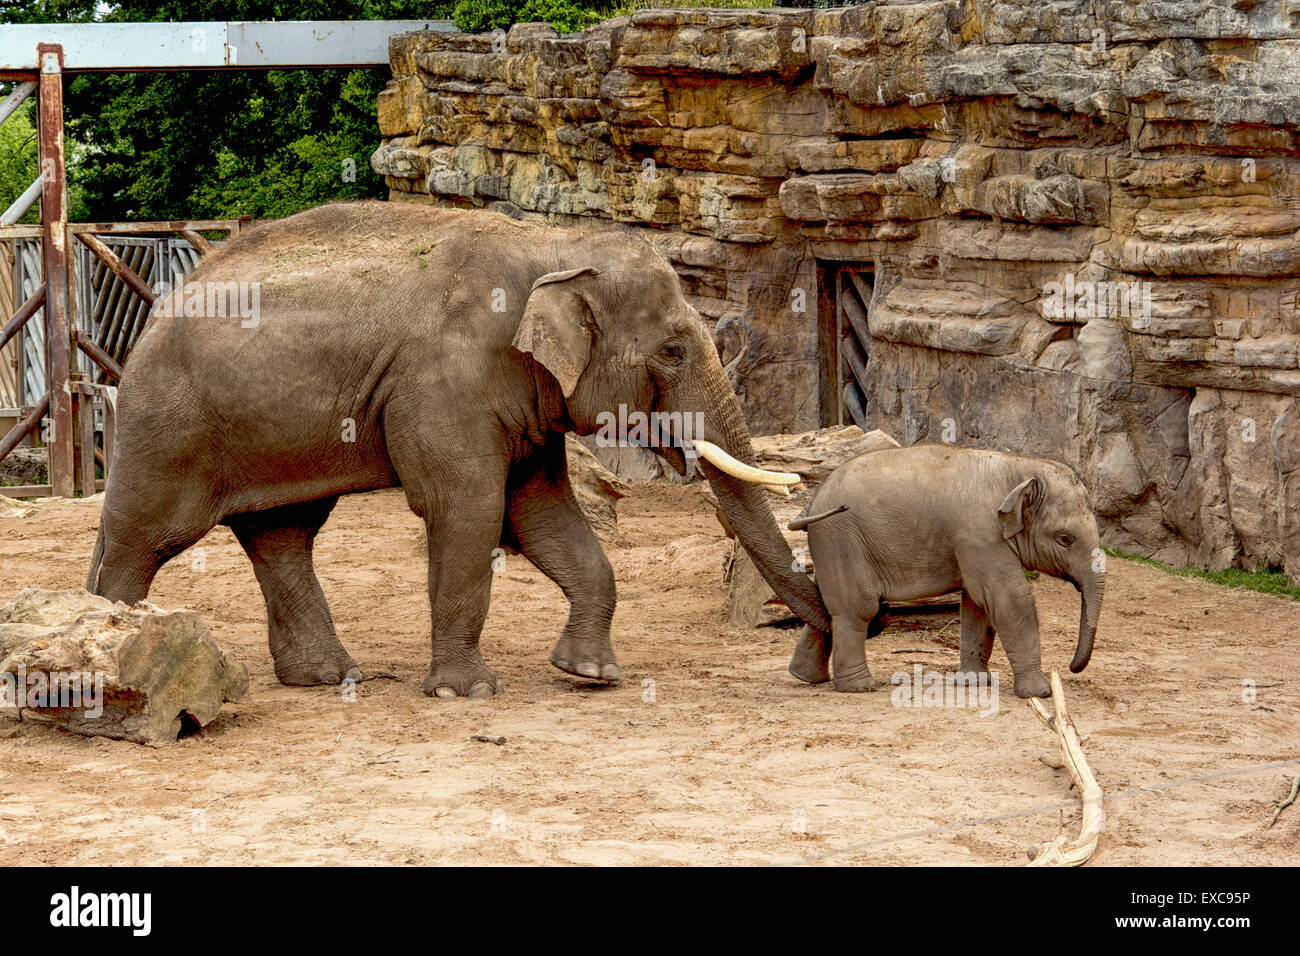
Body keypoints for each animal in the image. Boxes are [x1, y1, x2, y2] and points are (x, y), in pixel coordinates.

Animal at [85, 201, 830, 698]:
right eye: (672, 351)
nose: (813, 665)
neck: (551, 248)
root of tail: (151, 318)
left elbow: (542, 517)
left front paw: (591, 674)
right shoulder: (448, 382)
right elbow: (469, 510)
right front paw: (466, 693)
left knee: (282, 535)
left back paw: (328, 678)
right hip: (166, 423)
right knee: (142, 537)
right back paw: (108, 657)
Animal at [785, 444, 1105, 698]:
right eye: (1065, 539)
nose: (1071, 667)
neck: (1019, 467)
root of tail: (814, 498)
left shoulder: (975, 544)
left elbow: (977, 605)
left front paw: (974, 683)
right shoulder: (980, 536)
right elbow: (1009, 599)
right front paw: (1040, 693)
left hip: (832, 543)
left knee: (827, 601)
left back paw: (805, 676)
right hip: (841, 537)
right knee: (857, 608)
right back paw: (859, 686)